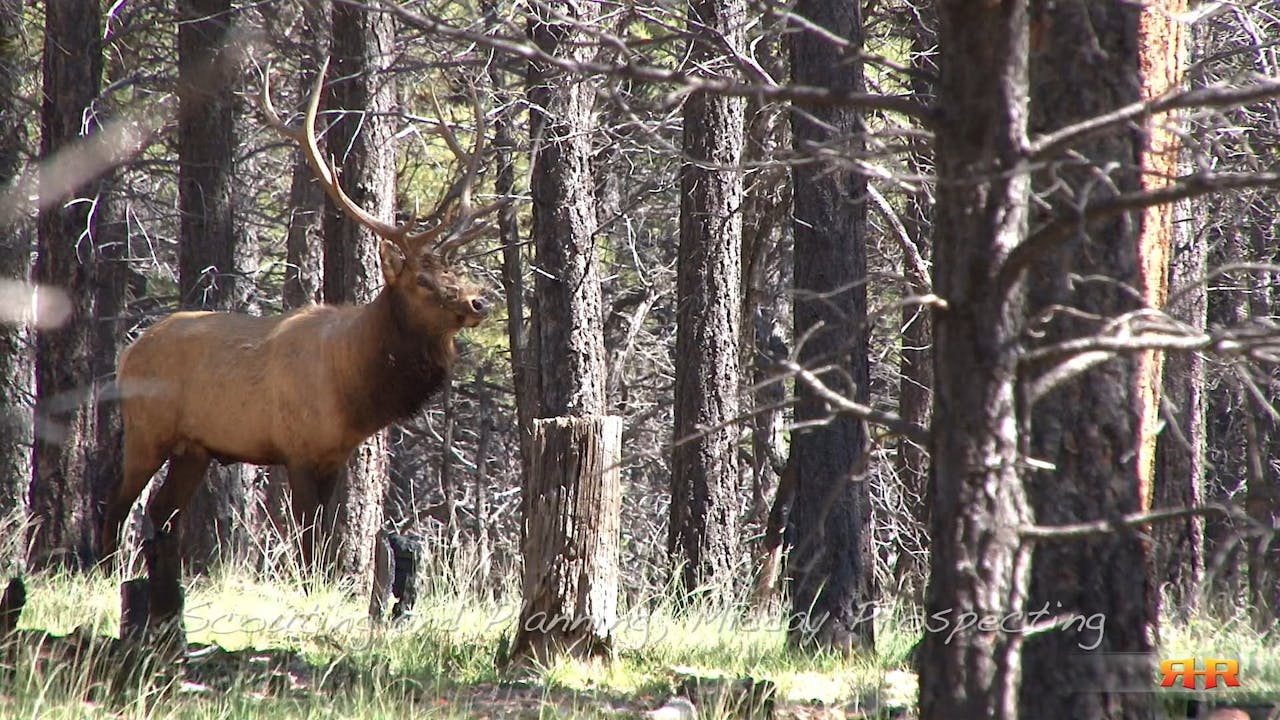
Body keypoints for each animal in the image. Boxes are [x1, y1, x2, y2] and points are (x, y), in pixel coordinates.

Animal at [100, 58, 502, 571]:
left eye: (454, 269)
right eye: (422, 281)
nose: (479, 301)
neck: (354, 390)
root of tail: (127, 353)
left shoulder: (334, 456)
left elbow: (327, 543)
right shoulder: (299, 449)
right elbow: (310, 544)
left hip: (196, 448)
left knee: (160, 511)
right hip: (146, 428)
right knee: (116, 503)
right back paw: (101, 568)